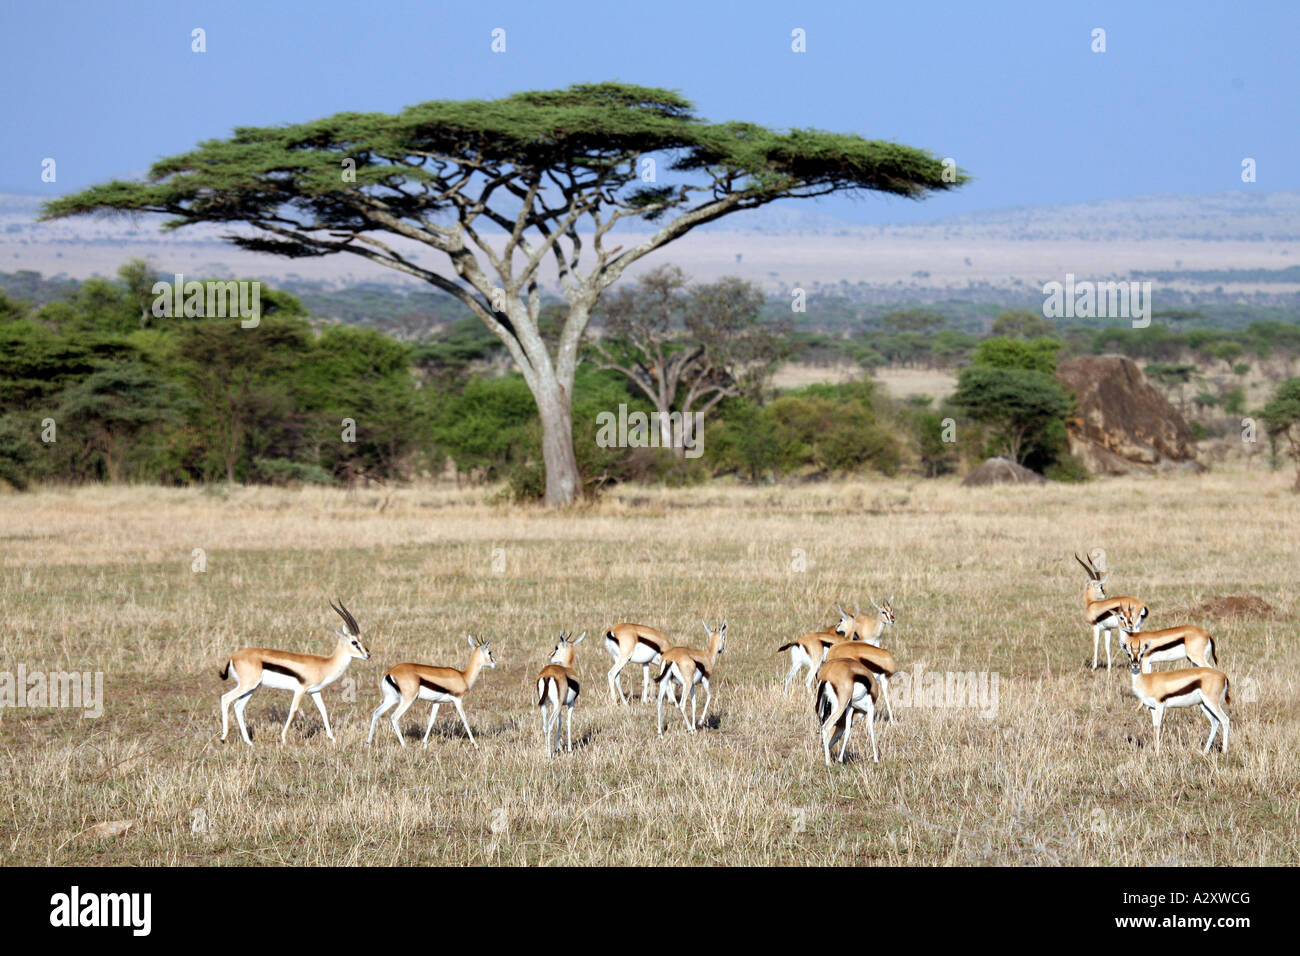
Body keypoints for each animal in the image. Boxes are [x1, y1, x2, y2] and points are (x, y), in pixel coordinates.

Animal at [219, 599, 369, 746]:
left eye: (361, 639)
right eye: (354, 642)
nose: (368, 654)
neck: (324, 664)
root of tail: (233, 656)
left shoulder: (315, 691)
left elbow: (323, 710)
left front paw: (332, 739)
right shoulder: (301, 690)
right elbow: (293, 710)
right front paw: (284, 739)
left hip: (252, 687)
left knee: (238, 706)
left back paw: (248, 742)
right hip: (247, 685)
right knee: (225, 698)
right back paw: (223, 737)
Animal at [367, 635, 497, 748]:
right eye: (489, 652)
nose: (495, 663)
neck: (463, 676)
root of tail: (390, 672)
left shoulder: (437, 702)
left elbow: (431, 720)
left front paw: (424, 743)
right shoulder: (457, 699)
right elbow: (464, 719)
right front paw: (475, 744)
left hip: (392, 698)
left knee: (376, 713)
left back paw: (368, 743)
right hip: (408, 699)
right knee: (394, 717)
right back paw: (404, 745)